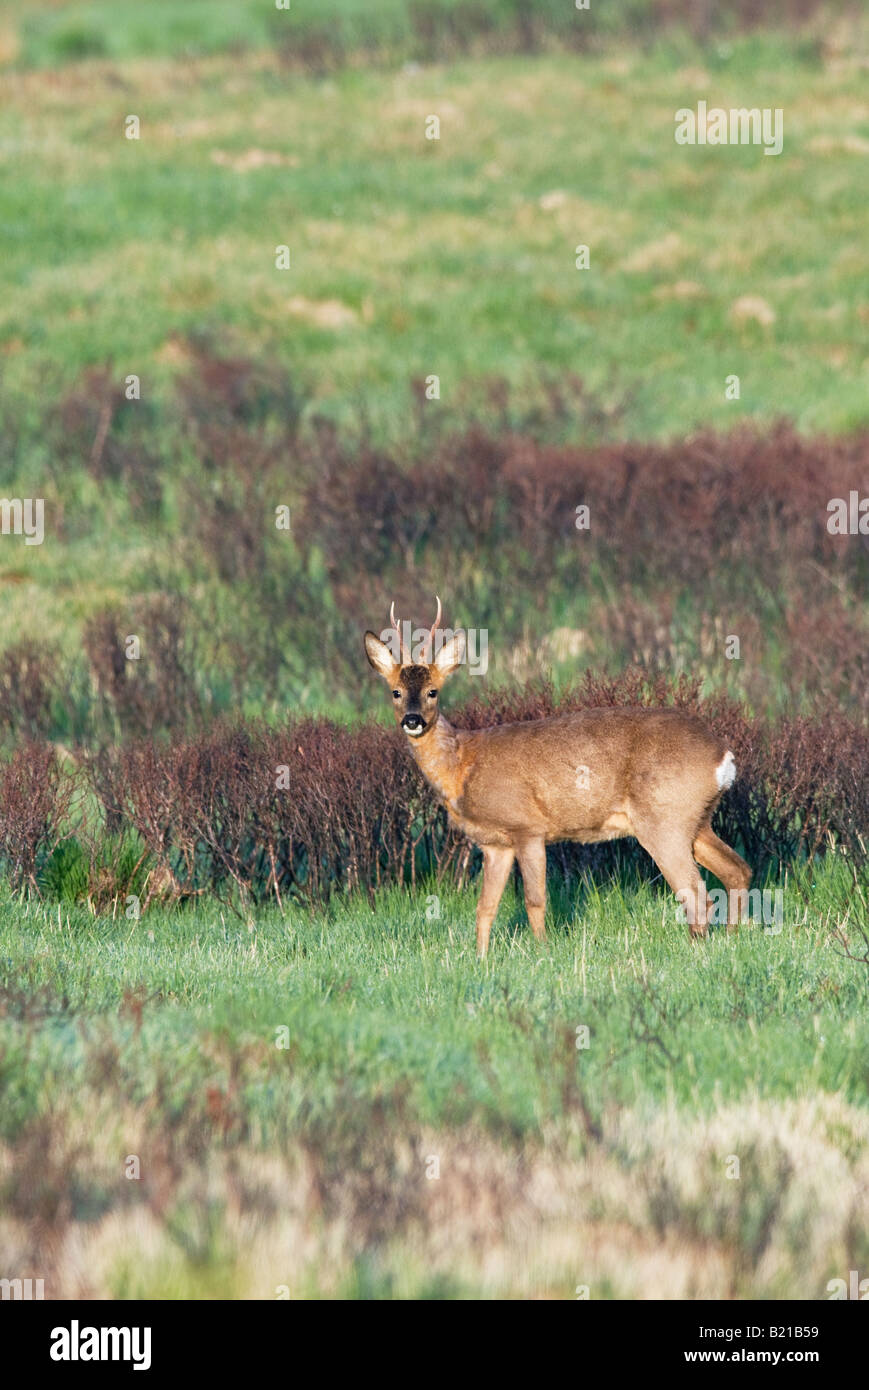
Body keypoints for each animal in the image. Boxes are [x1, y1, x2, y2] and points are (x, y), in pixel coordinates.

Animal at [365, 598, 752, 956]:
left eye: (433, 691)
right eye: (396, 692)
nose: (413, 720)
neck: (461, 767)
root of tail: (723, 757)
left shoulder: (528, 827)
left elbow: (535, 901)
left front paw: (542, 953)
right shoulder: (495, 844)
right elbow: (485, 908)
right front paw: (480, 959)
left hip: (664, 819)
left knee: (697, 892)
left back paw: (698, 949)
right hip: (696, 820)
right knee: (738, 870)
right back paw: (731, 939)